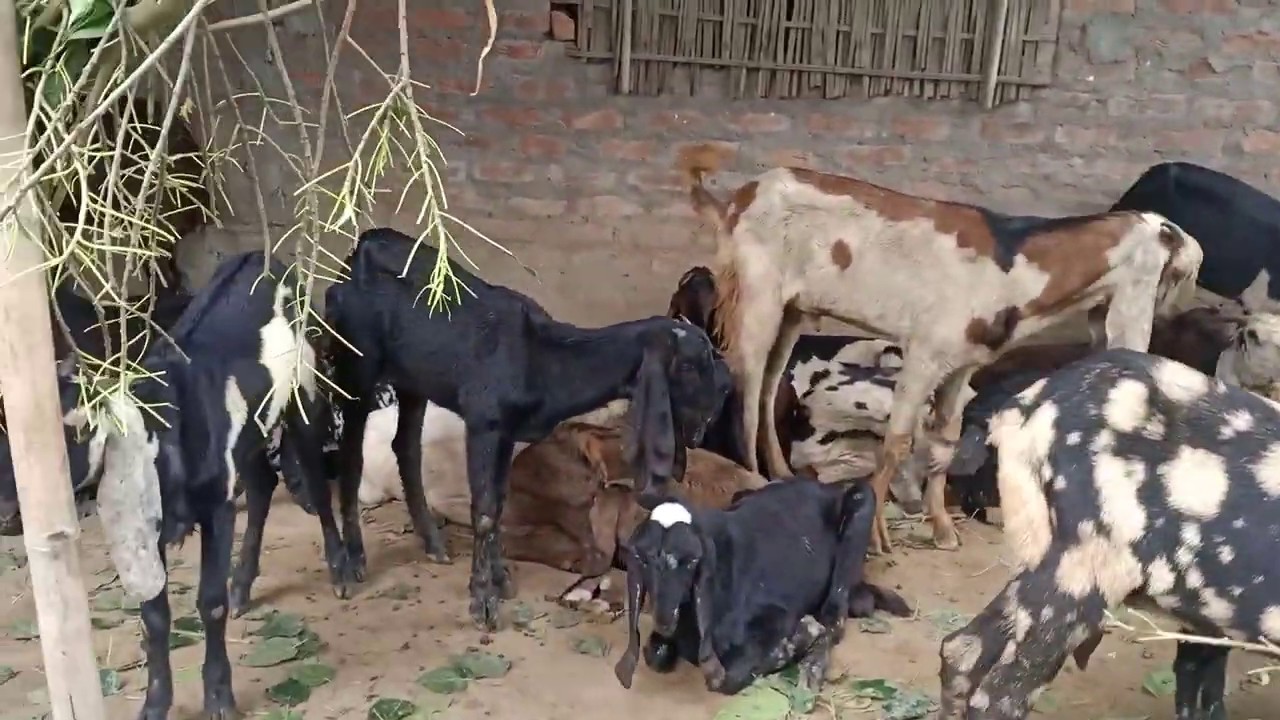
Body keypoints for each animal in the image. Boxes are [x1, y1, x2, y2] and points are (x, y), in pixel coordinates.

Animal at [319, 227, 730, 630]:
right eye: (691, 363)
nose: (726, 387)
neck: (544, 357)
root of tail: (359, 250)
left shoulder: (506, 431)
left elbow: (499, 504)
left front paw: (499, 579)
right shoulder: (483, 423)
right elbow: (485, 510)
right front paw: (482, 603)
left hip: (414, 381)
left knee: (404, 445)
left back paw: (432, 544)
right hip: (355, 367)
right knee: (351, 455)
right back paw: (352, 564)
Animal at [614, 476, 912, 695]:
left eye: (692, 561)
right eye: (643, 558)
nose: (664, 619)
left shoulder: (777, 614)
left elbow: (728, 677)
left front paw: (803, 635)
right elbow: (655, 655)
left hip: (862, 499)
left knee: (834, 619)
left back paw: (813, 667)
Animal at [676, 143, 1204, 555]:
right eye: (1169, 273)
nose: (1142, 348)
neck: (1013, 270)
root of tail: (736, 200)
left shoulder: (960, 366)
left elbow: (944, 442)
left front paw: (944, 530)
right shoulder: (924, 353)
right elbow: (897, 441)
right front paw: (877, 536)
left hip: (794, 312)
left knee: (768, 388)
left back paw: (782, 473)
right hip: (757, 299)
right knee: (747, 389)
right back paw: (753, 477)